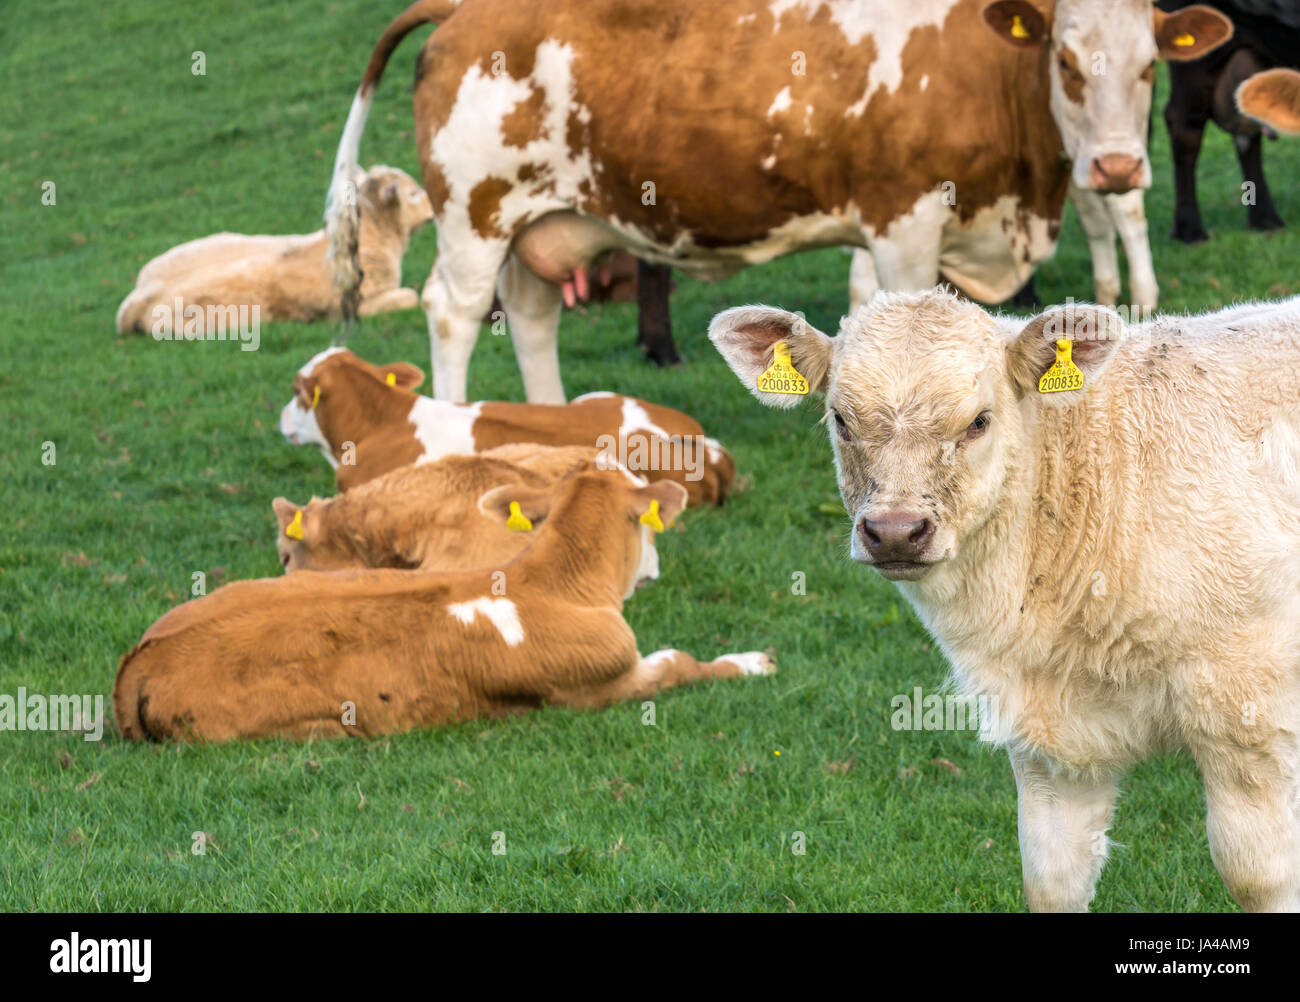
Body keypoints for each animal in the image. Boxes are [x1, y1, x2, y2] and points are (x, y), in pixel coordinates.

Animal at [322, 0, 1230, 403]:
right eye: (1067, 64)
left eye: (1150, 65)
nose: (1116, 166)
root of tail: (465, 10)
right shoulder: (905, 219)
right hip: (475, 214)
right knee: (453, 313)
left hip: (545, 220)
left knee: (531, 314)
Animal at [709, 288, 1300, 911]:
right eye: (841, 420)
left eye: (978, 421)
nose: (895, 531)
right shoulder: (1047, 744)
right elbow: (1049, 880)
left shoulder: (1247, 718)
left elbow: (1257, 874)